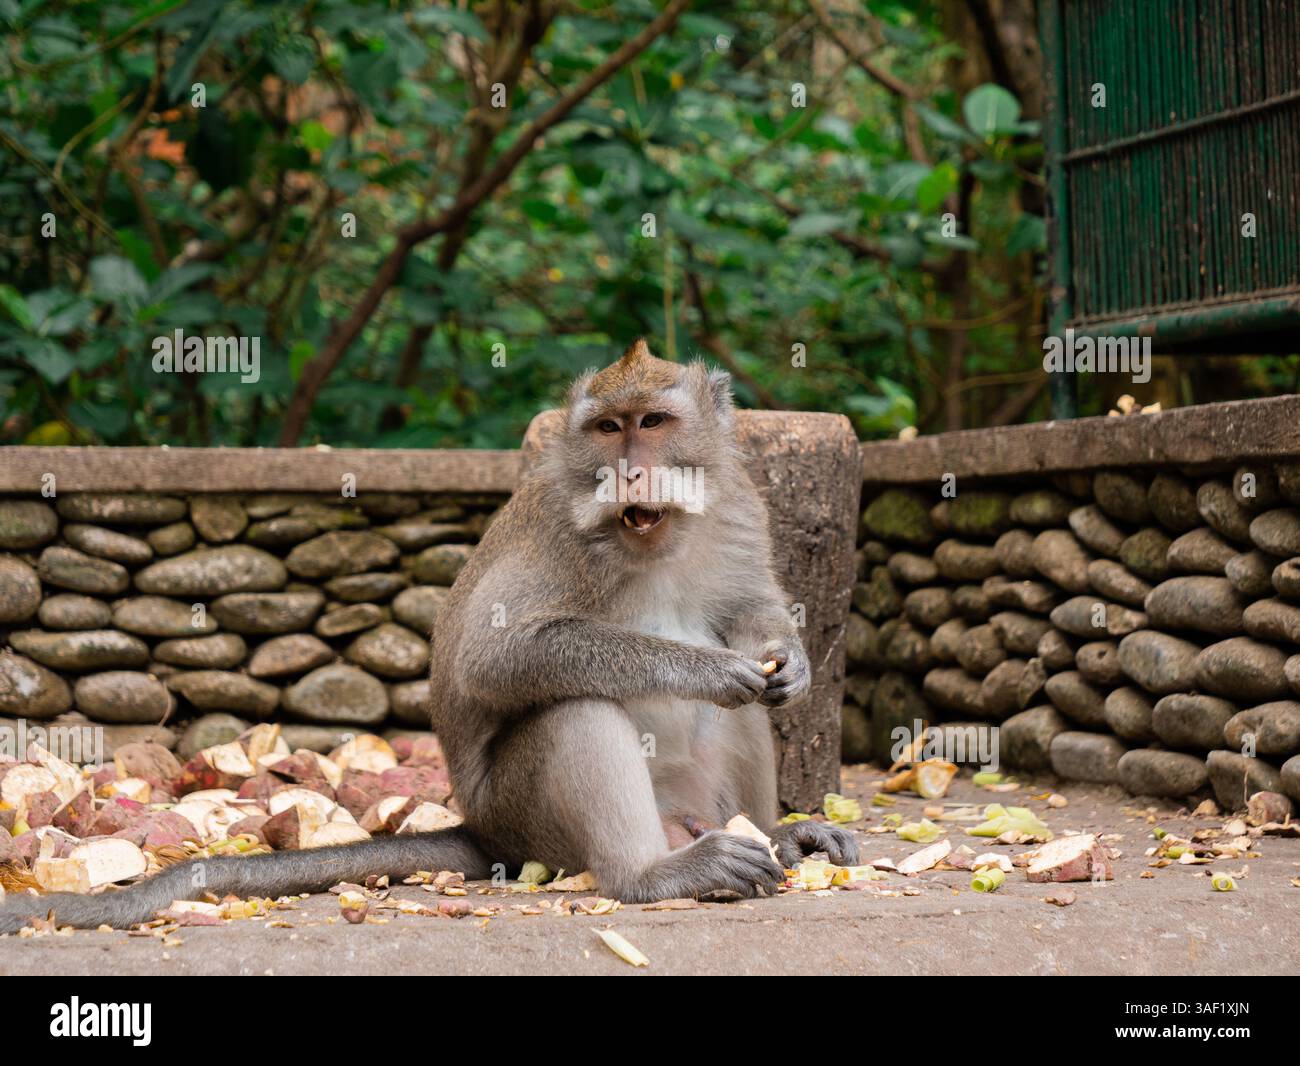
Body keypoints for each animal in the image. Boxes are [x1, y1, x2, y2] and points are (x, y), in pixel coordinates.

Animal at [0, 339, 856, 933]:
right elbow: (493, 657)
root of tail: (485, 832)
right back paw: (650, 874)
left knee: (748, 713)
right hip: (526, 818)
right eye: (609, 428)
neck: (657, 536)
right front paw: (702, 668)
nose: (631, 472)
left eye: (654, 423)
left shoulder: (739, 503)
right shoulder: (557, 530)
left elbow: (754, 617)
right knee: (576, 708)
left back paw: (780, 836)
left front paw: (790, 664)